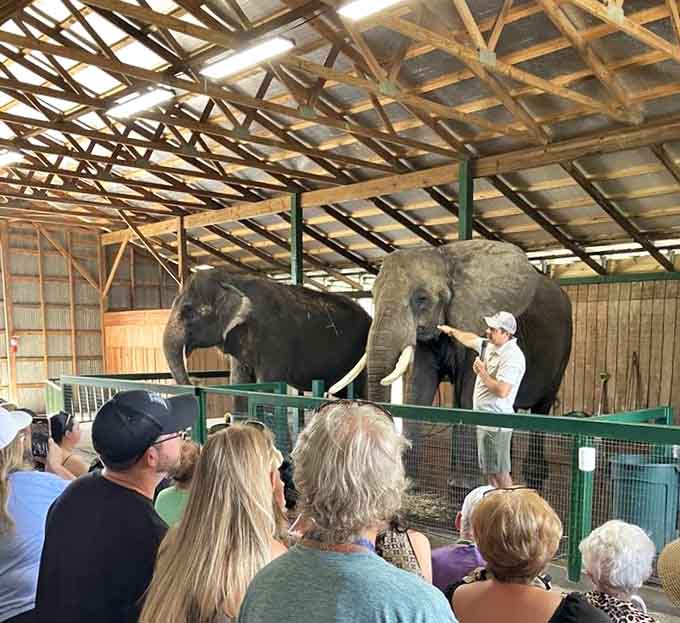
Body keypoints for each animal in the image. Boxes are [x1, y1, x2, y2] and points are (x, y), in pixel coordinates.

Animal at [163, 269, 372, 400]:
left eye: (189, 313)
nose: (196, 381)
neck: (231, 279)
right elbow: (239, 382)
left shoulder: (274, 340)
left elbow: (269, 384)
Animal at [332, 240, 573, 491]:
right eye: (372, 296)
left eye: (421, 299)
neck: (446, 257)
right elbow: (419, 391)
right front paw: (409, 482)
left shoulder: (476, 319)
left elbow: (468, 397)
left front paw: (463, 484)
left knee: (542, 408)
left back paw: (531, 475)